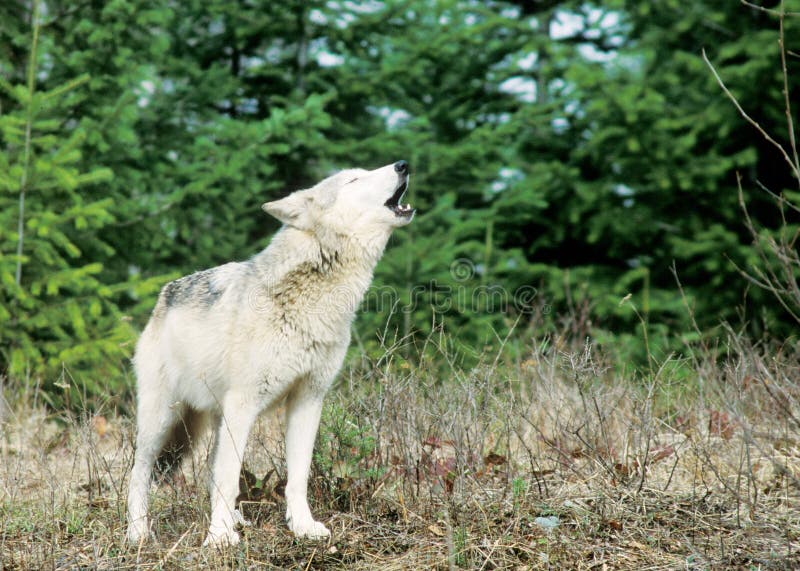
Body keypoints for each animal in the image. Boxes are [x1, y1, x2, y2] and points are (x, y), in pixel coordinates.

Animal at [126, 161, 414, 547]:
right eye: (354, 178)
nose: (403, 165)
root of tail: (164, 295)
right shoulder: (244, 402)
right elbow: (229, 475)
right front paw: (219, 538)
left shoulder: (309, 399)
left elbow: (297, 475)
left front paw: (303, 526)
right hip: (164, 418)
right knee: (139, 472)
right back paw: (138, 531)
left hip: (216, 419)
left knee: (212, 472)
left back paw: (234, 518)